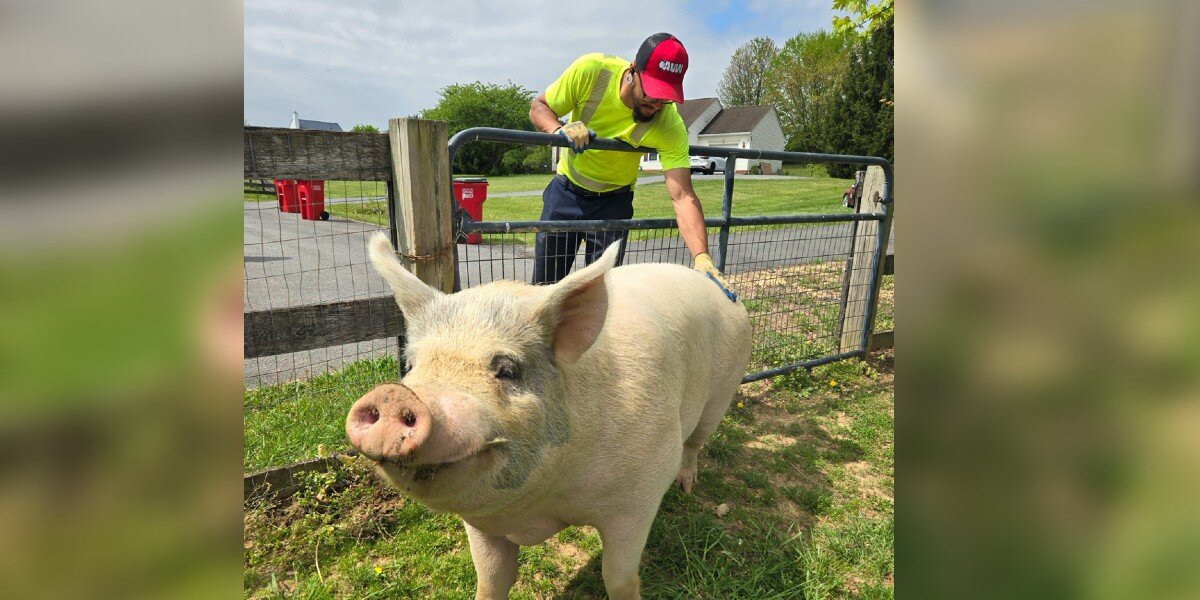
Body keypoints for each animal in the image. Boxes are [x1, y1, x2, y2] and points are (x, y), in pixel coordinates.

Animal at [346, 232, 752, 600]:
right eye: (411, 365)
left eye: (507, 369)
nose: (394, 394)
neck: (540, 506)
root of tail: (716, 286)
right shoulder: (480, 523)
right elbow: (491, 581)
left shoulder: (640, 495)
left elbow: (618, 578)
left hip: (721, 392)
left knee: (695, 442)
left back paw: (687, 486)